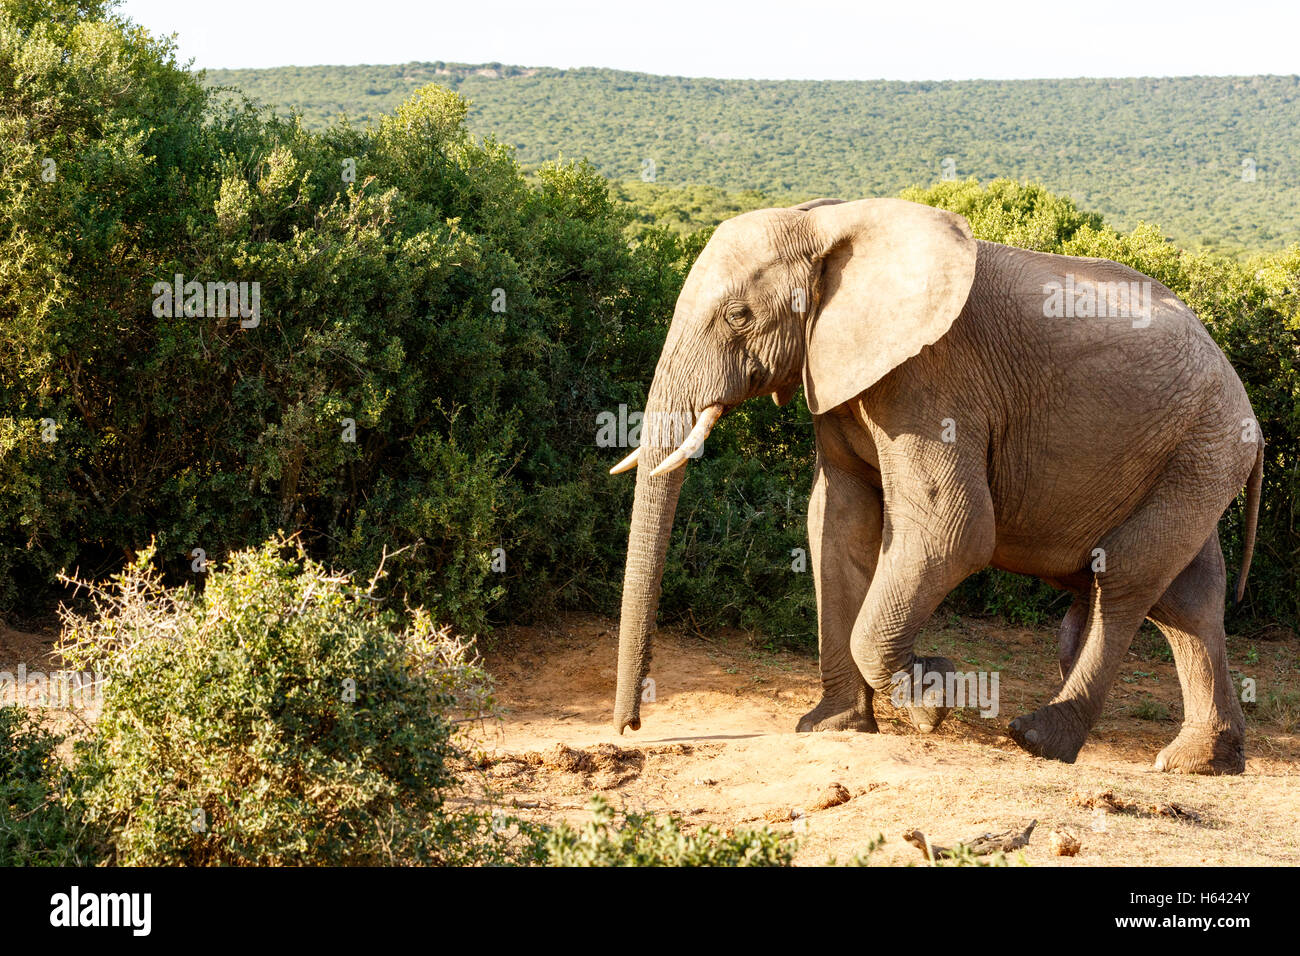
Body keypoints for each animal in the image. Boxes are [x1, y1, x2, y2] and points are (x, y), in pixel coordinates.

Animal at [608, 197, 1264, 775]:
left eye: (738, 316)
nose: (629, 729)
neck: (828, 224)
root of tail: (1249, 418)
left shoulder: (932, 379)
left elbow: (951, 533)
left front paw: (936, 697)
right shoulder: (841, 372)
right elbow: (836, 522)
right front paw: (831, 727)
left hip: (1202, 447)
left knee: (1126, 578)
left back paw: (1038, 740)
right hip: (1195, 458)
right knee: (1186, 601)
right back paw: (1201, 764)